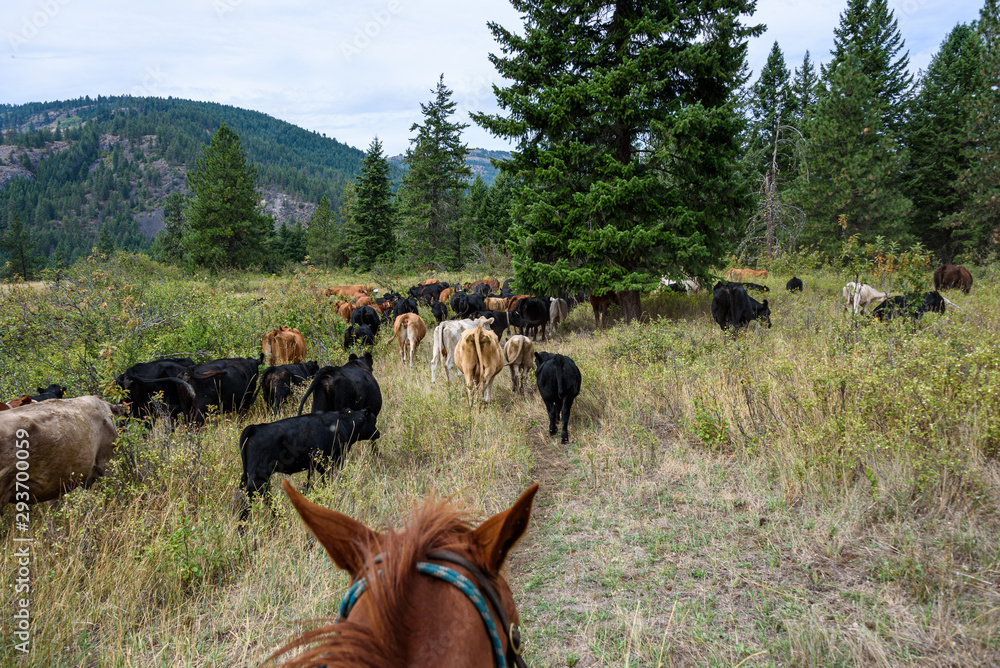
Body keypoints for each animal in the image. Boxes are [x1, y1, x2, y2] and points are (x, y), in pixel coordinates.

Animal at [239, 408, 379, 520]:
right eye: (374, 420)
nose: (377, 433)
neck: (344, 423)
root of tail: (256, 427)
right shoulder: (330, 462)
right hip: (258, 476)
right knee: (250, 498)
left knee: (264, 494)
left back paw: (279, 518)